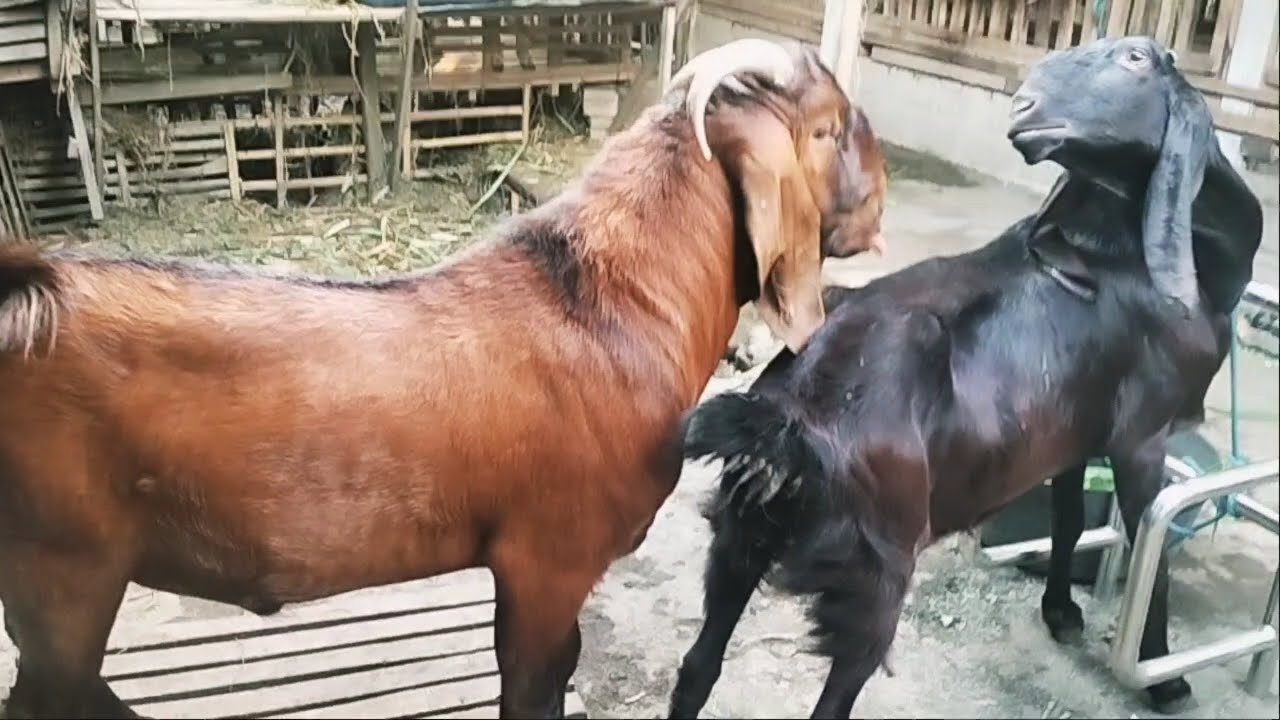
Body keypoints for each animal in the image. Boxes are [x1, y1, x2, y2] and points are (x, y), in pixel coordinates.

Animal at [0, 39, 888, 720]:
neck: (608, 302)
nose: (881, 195)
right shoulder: (548, 560)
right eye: (827, 128)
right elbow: (534, 687)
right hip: (62, 563)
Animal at [668, 35, 1263, 720]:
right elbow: (1150, 549)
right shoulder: (1143, 434)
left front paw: (1061, 613)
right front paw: (1167, 681)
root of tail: (787, 420)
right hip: (875, 570)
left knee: (698, 667)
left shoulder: (1074, 430)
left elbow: (1067, 517)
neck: (1127, 253)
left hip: (741, 532)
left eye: (1135, 59)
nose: (1025, 110)